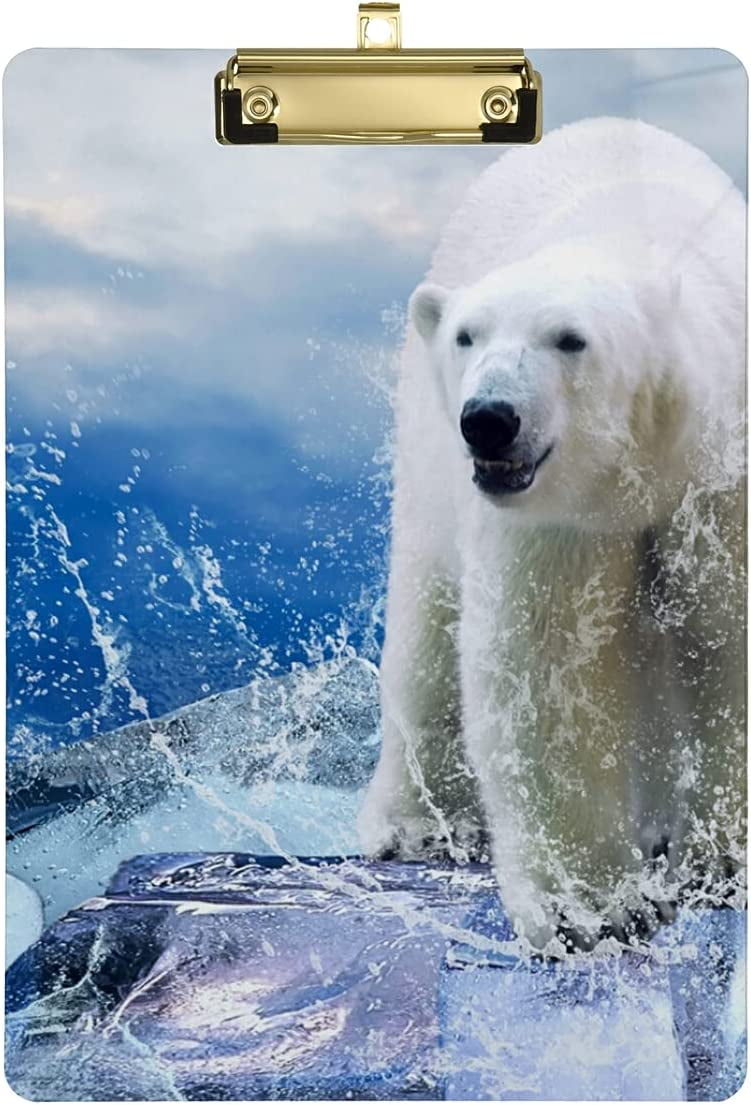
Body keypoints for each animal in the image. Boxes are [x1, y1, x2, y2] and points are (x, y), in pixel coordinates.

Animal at [358, 118, 746, 954]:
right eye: (468, 335)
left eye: (569, 339)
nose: (489, 419)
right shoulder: (555, 518)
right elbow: (548, 665)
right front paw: (592, 908)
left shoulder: (721, 473)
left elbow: (728, 639)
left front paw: (720, 863)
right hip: (426, 465)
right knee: (427, 629)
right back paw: (420, 824)